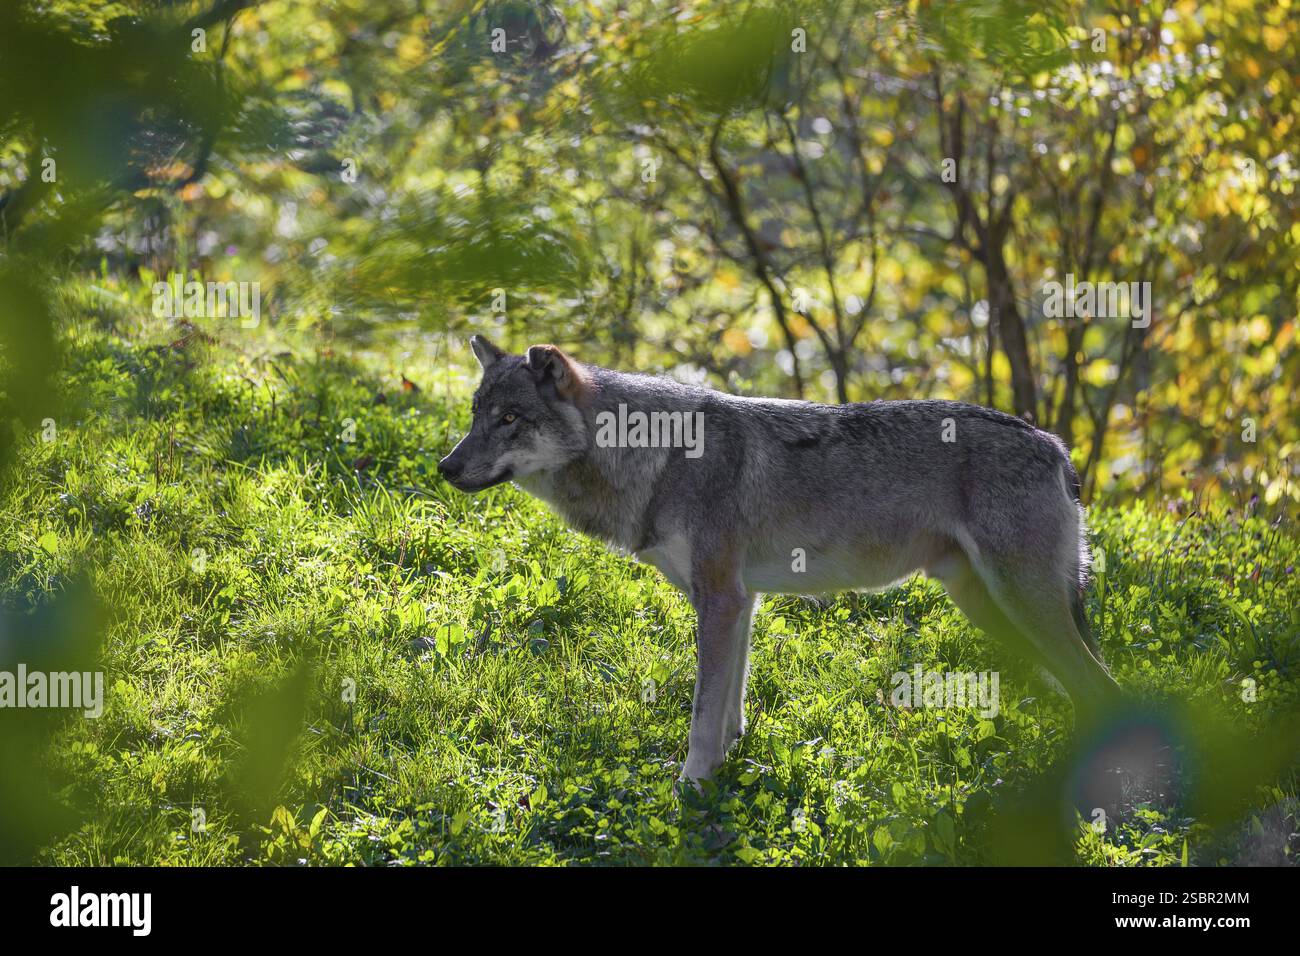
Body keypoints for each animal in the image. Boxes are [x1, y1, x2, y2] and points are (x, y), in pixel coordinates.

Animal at [439, 335, 1122, 782]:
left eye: (510, 419)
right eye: (475, 416)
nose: (445, 467)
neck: (655, 459)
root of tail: (1055, 445)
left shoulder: (721, 598)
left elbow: (701, 710)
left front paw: (690, 786)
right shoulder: (739, 601)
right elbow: (728, 706)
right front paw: (725, 766)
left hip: (1021, 605)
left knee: (1103, 688)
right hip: (991, 609)